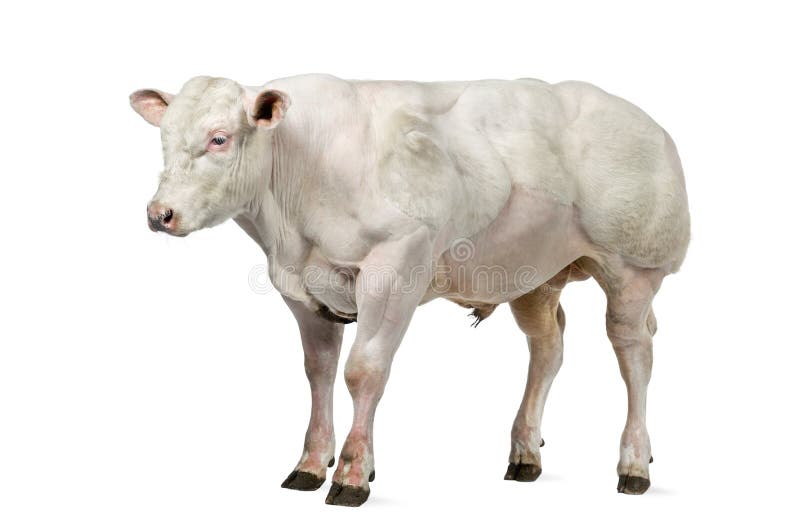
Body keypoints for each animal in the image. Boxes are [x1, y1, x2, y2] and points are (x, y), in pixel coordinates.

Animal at [130, 74, 690, 506]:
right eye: (164, 138)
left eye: (219, 138)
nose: (160, 213)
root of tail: (650, 122)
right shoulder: (301, 289)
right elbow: (319, 371)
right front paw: (310, 464)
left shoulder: (395, 267)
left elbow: (363, 371)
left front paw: (353, 473)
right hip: (535, 274)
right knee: (548, 346)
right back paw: (525, 453)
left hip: (635, 267)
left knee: (633, 353)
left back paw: (633, 464)